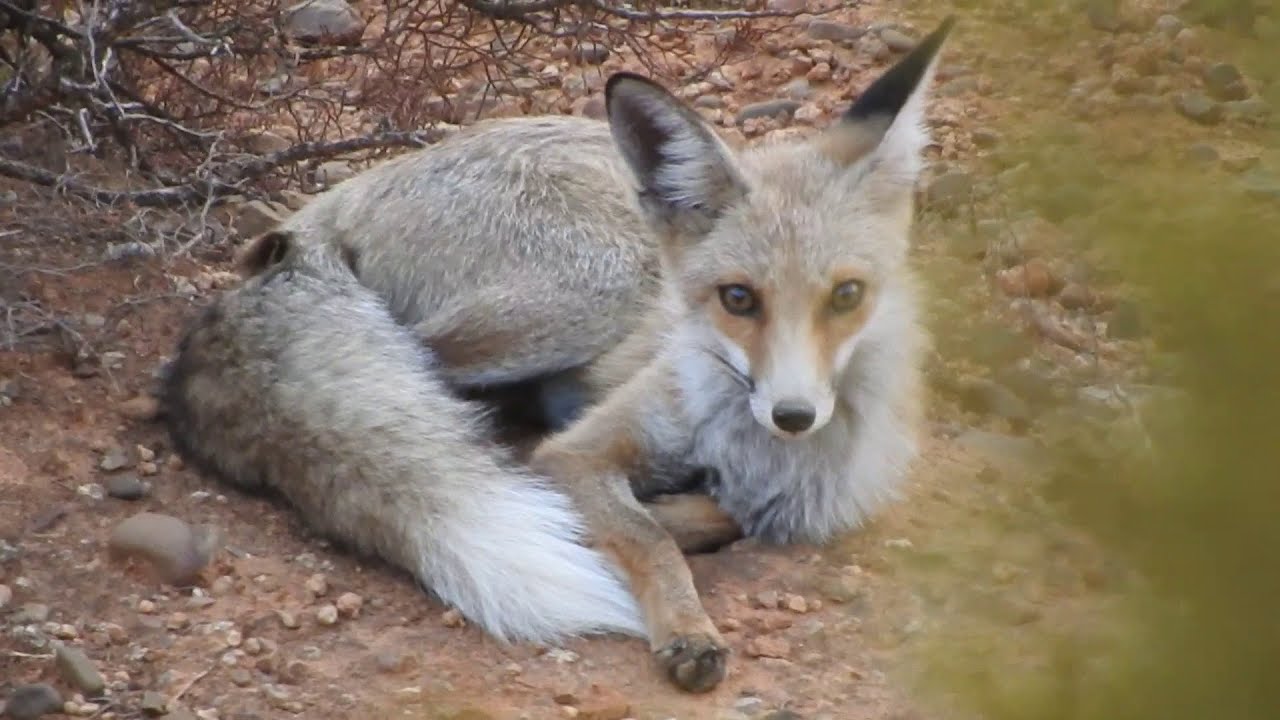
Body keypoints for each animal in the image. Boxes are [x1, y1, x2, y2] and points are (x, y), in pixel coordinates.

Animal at [161, 17, 954, 695]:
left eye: (847, 295)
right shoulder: (589, 445)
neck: (766, 455)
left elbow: (726, 512)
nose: (792, 413)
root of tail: (325, 210)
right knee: (418, 381)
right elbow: (648, 532)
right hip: (594, 286)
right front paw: (681, 614)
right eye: (738, 298)